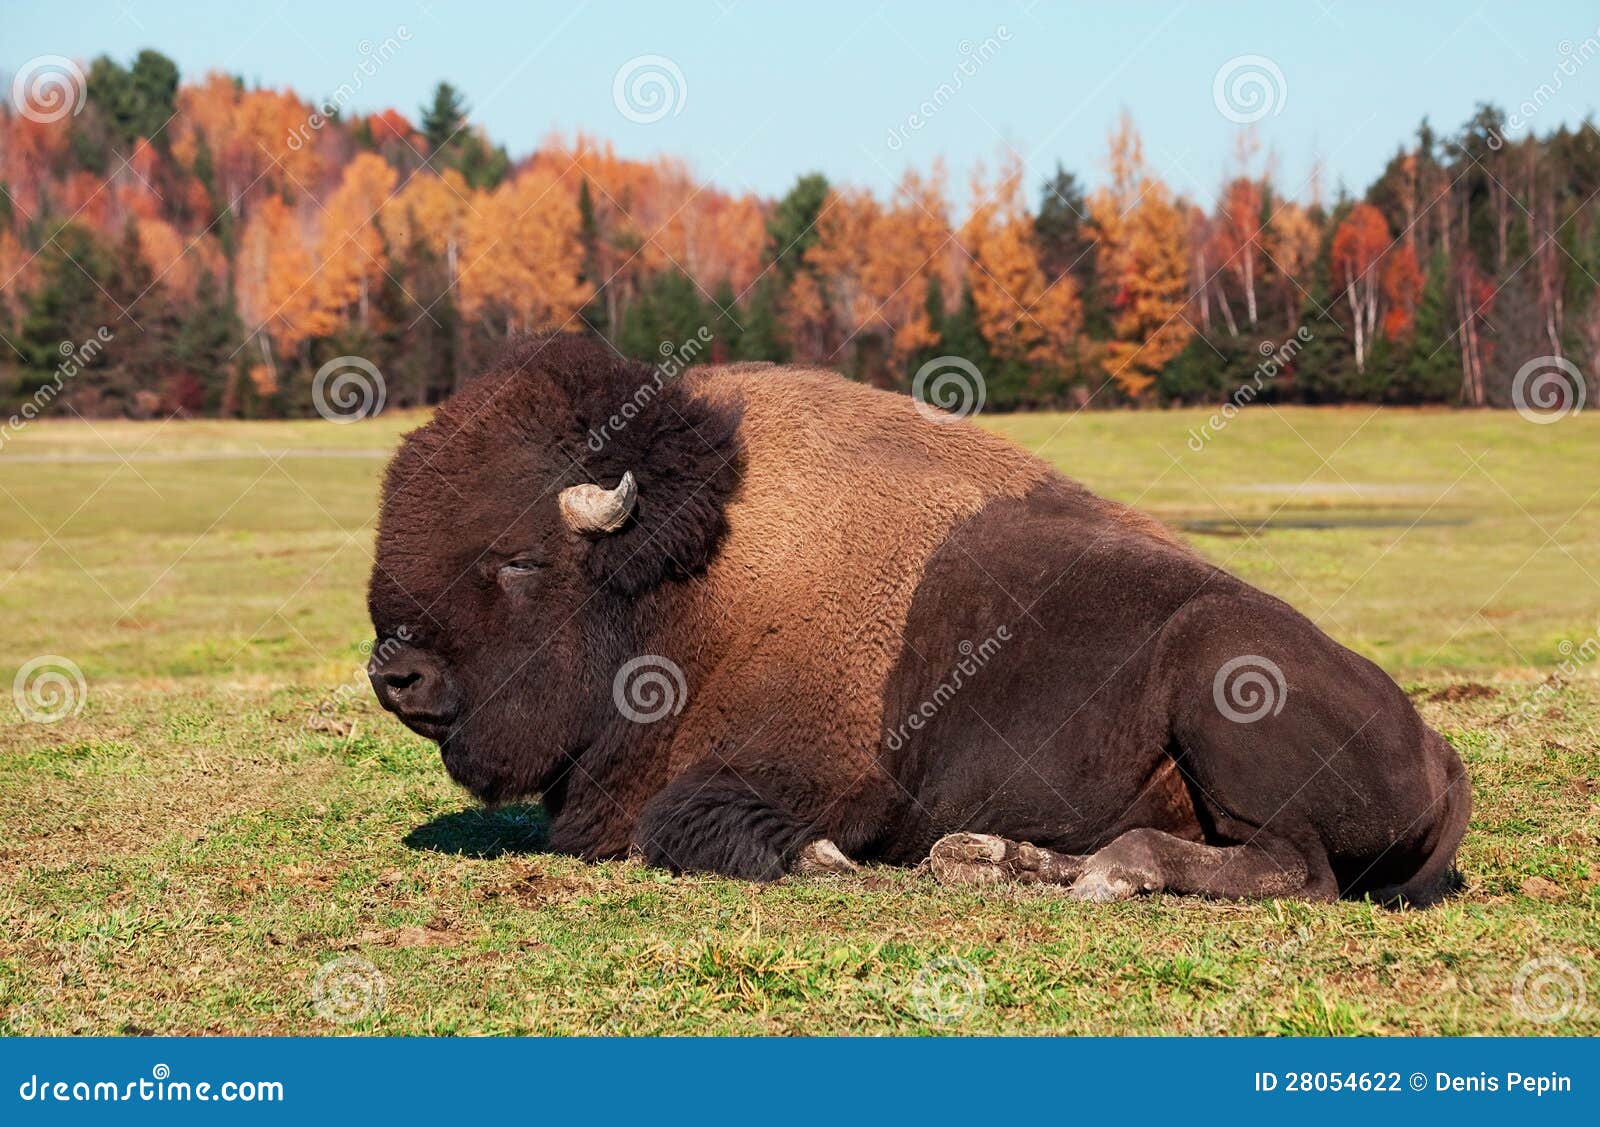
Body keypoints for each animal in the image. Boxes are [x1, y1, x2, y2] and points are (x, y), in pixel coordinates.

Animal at [368, 335, 1469, 904]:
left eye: (517, 558)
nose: (395, 671)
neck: (691, 579)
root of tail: (1441, 748)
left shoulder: (823, 776)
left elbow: (690, 823)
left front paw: (820, 859)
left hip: (1216, 677)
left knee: (1294, 868)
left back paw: (1108, 872)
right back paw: (1000, 858)